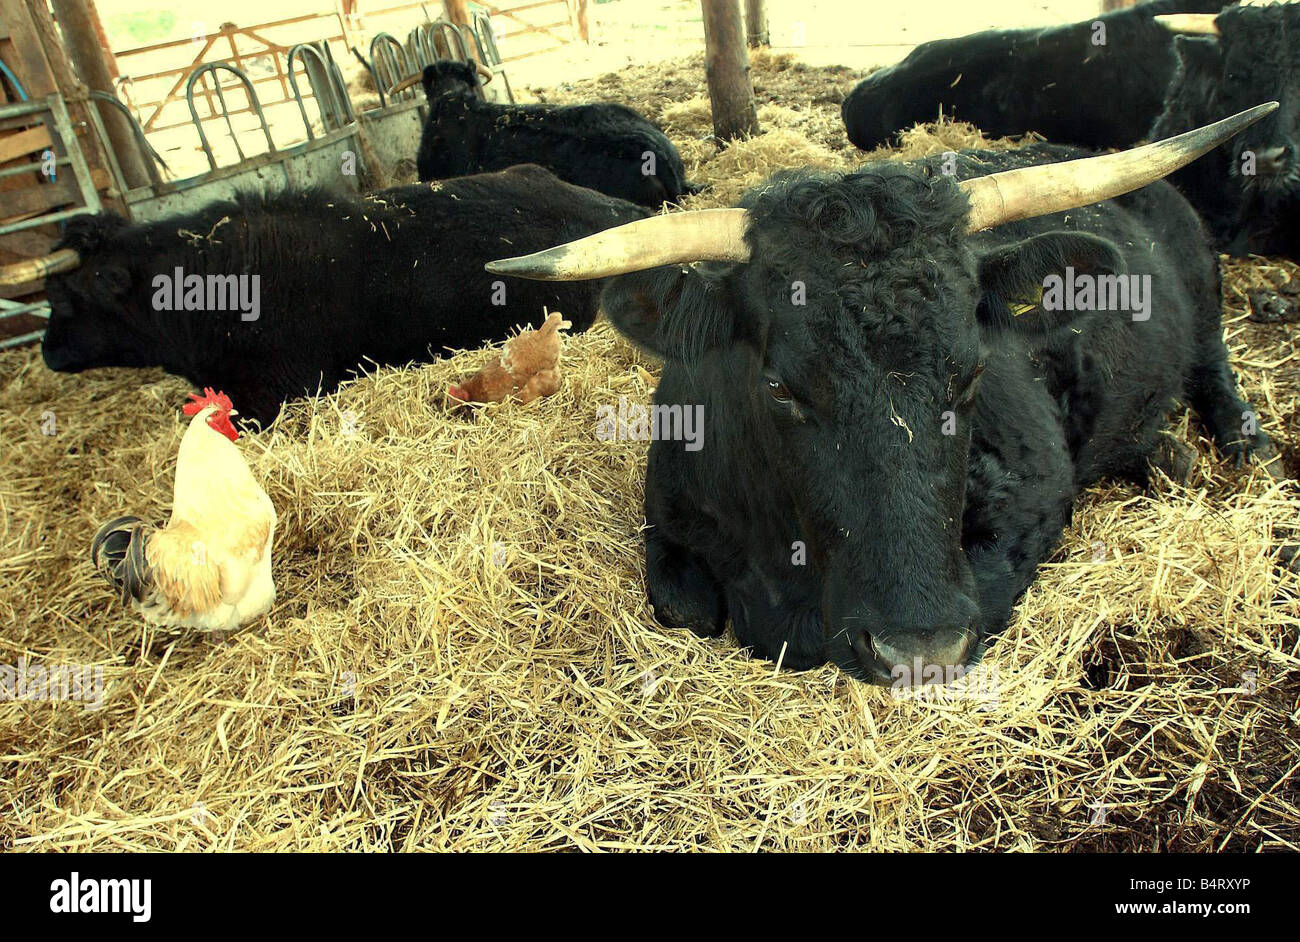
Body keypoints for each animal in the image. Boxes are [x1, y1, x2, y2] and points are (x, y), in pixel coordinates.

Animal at [485, 106, 1278, 685]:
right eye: (778, 386)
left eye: (976, 373)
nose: (918, 648)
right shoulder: (669, 516)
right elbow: (686, 609)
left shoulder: (1031, 499)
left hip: (1203, 284)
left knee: (1214, 366)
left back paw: (1232, 446)